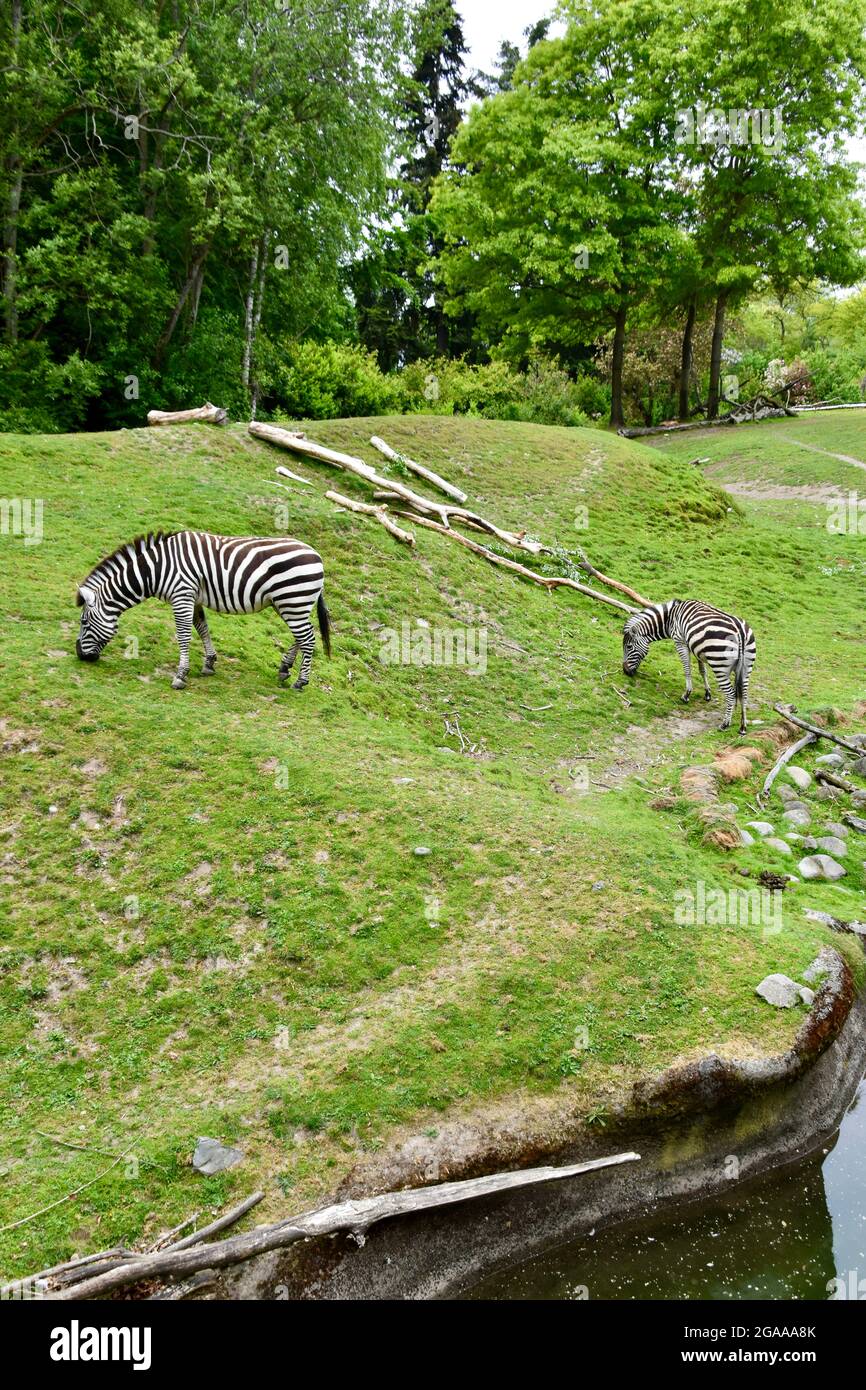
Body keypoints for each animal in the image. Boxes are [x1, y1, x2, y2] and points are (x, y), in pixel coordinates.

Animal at [75, 531, 330, 690]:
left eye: (84, 622)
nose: (80, 655)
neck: (155, 569)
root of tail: (318, 557)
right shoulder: (193, 598)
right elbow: (202, 628)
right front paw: (209, 663)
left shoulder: (181, 595)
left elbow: (184, 635)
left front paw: (180, 675)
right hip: (288, 603)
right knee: (302, 635)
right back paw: (285, 668)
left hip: (292, 601)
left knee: (308, 638)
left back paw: (300, 682)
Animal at [622, 599, 755, 734]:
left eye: (628, 647)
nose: (625, 671)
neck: (670, 618)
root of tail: (740, 631)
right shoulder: (697, 648)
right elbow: (702, 670)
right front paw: (707, 694)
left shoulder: (680, 641)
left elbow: (687, 669)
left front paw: (686, 695)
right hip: (746, 667)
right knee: (744, 694)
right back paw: (743, 727)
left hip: (719, 666)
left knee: (731, 694)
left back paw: (725, 724)